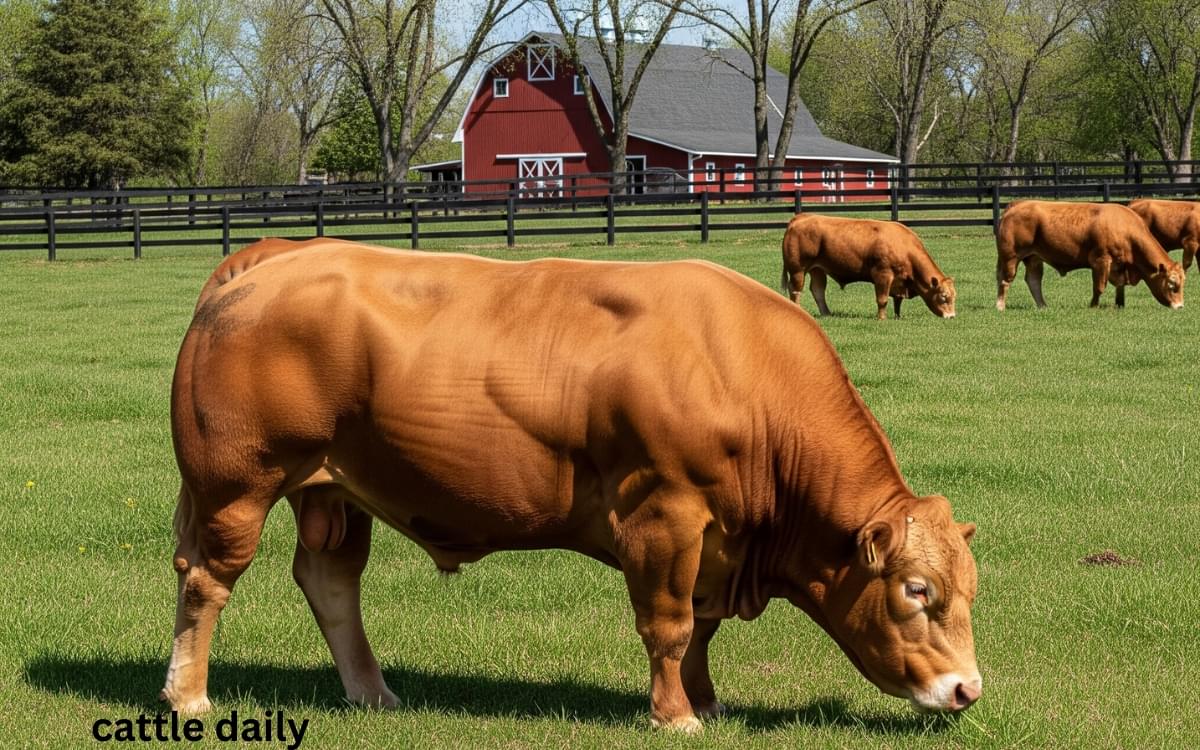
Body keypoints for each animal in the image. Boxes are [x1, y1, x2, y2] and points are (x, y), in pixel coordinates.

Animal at [162, 238, 982, 732]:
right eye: (917, 590)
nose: (968, 690)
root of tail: (278, 254)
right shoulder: (664, 517)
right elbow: (670, 625)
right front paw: (676, 715)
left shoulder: (712, 540)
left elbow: (700, 627)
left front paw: (706, 700)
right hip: (236, 486)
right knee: (206, 581)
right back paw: (189, 694)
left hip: (334, 488)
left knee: (330, 581)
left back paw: (372, 692)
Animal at [781, 214, 956, 320]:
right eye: (944, 296)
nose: (952, 316)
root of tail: (801, 217)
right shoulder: (883, 275)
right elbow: (882, 299)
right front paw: (882, 318)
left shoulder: (899, 282)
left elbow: (897, 301)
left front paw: (897, 317)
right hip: (798, 269)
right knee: (795, 290)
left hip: (818, 269)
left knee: (818, 290)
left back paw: (827, 313)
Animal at [995, 200, 1185, 310]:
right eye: (1171, 284)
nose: (1180, 306)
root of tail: (1017, 204)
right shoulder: (1101, 261)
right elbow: (1099, 287)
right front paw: (1093, 306)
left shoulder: (1119, 266)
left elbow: (1120, 285)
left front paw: (1120, 304)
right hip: (1011, 257)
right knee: (1005, 280)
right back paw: (1000, 306)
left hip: (1034, 258)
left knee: (1033, 280)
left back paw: (1043, 306)